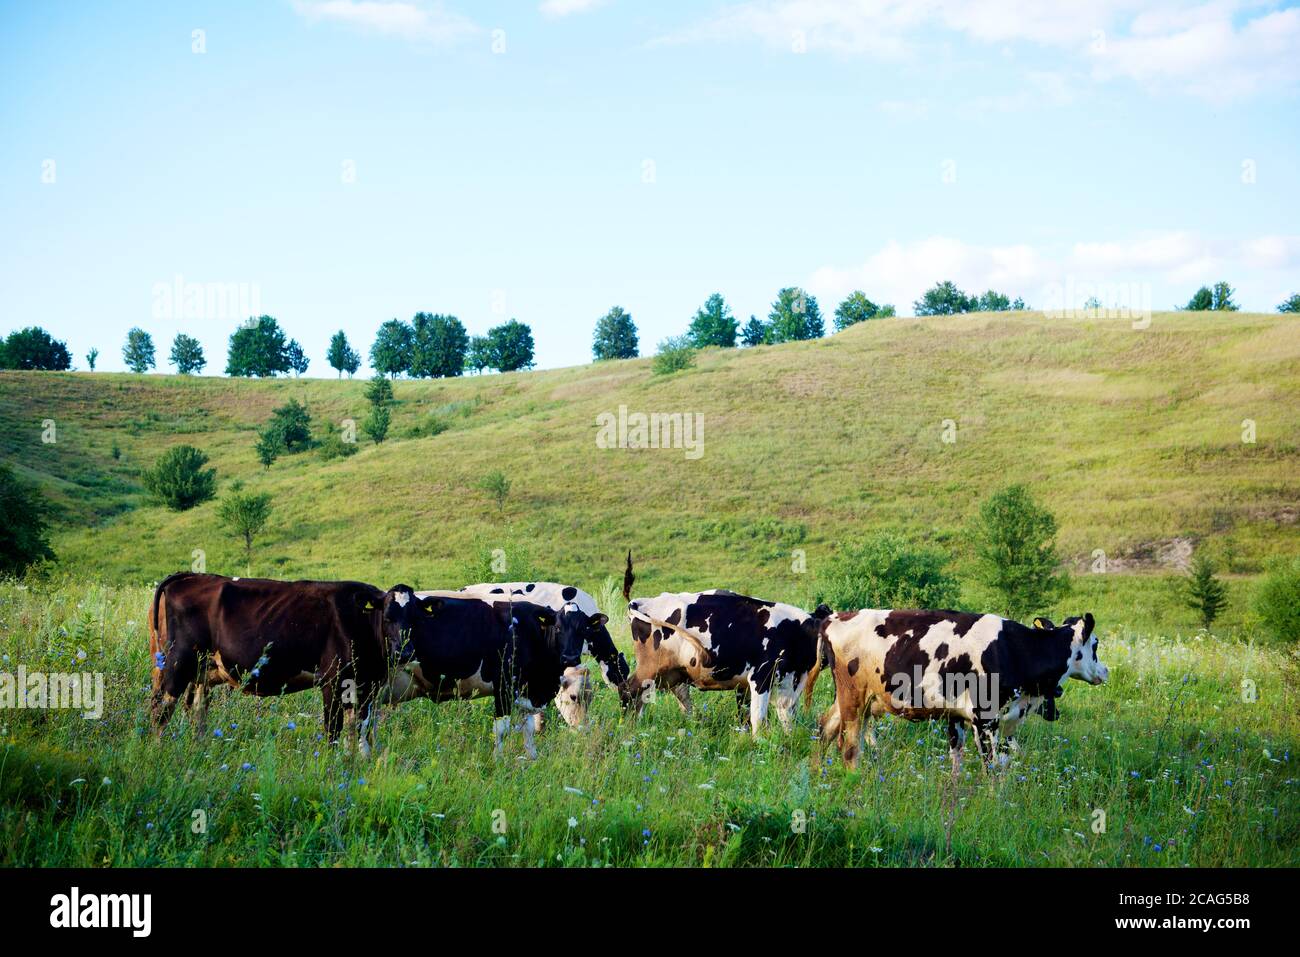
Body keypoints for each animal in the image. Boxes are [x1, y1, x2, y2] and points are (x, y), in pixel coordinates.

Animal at [148, 573, 390, 754]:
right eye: (388, 616)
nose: (399, 649)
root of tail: (188, 575)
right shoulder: (332, 680)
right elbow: (334, 729)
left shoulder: (368, 685)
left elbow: (361, 728)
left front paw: (359, 762)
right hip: (177, 665)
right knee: (162, 711)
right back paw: (157, 751)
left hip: (201, 671)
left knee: (197, 710)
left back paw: (199, 748)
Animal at [380, 586, 584, 758]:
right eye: (558, 628)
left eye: (583, 629)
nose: (571, 657)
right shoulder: (504, 688)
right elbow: (501, 729)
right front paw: (498, 760)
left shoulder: (523, 693)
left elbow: (528, 728)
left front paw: (532, 759)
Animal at [620, 556, 831, 736]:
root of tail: (642, 601)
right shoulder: (760, 676)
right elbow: (758, 718)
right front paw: (759, 745)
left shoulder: (782, 683)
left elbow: (782, 717)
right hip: (650, 667)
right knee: (627, 690)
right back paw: (625, 729)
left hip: (669, 673)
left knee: (653, 698)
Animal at [817, 608, 1108, 772]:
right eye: (1095, 644)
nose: (1105, 671)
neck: (1015, 650)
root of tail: (835, 617)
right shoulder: (985, 719)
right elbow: (992, 766)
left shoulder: (972, 717)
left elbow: (962, 762)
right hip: (853, 698)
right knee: (849, 745)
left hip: (854, 699)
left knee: (825, 727)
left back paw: (818, 772)